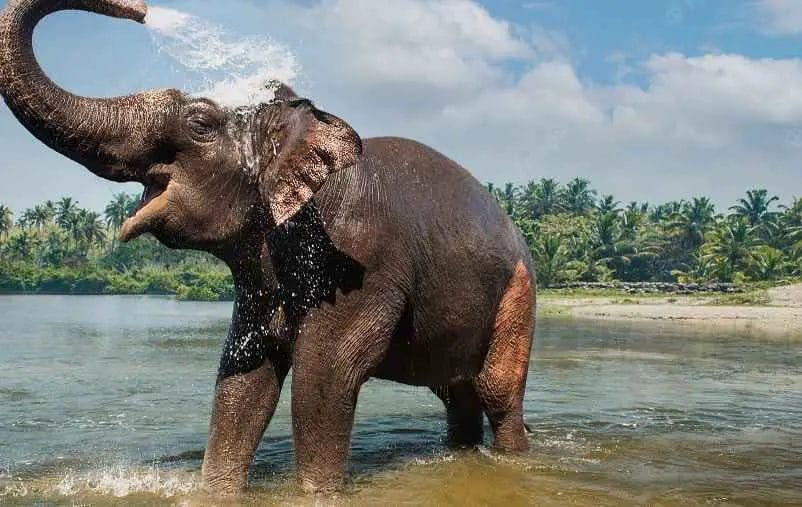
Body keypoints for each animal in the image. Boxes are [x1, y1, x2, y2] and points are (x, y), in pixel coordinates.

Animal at [0, 0, 536, 495]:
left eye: (199, 122)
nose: (141, 11)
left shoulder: (361, 257)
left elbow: (326, 374)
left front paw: (316, 493)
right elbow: (244, 375)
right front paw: (216, 491)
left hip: (520, 290)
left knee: (496, 391)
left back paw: (512, 456)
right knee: (455, 391)